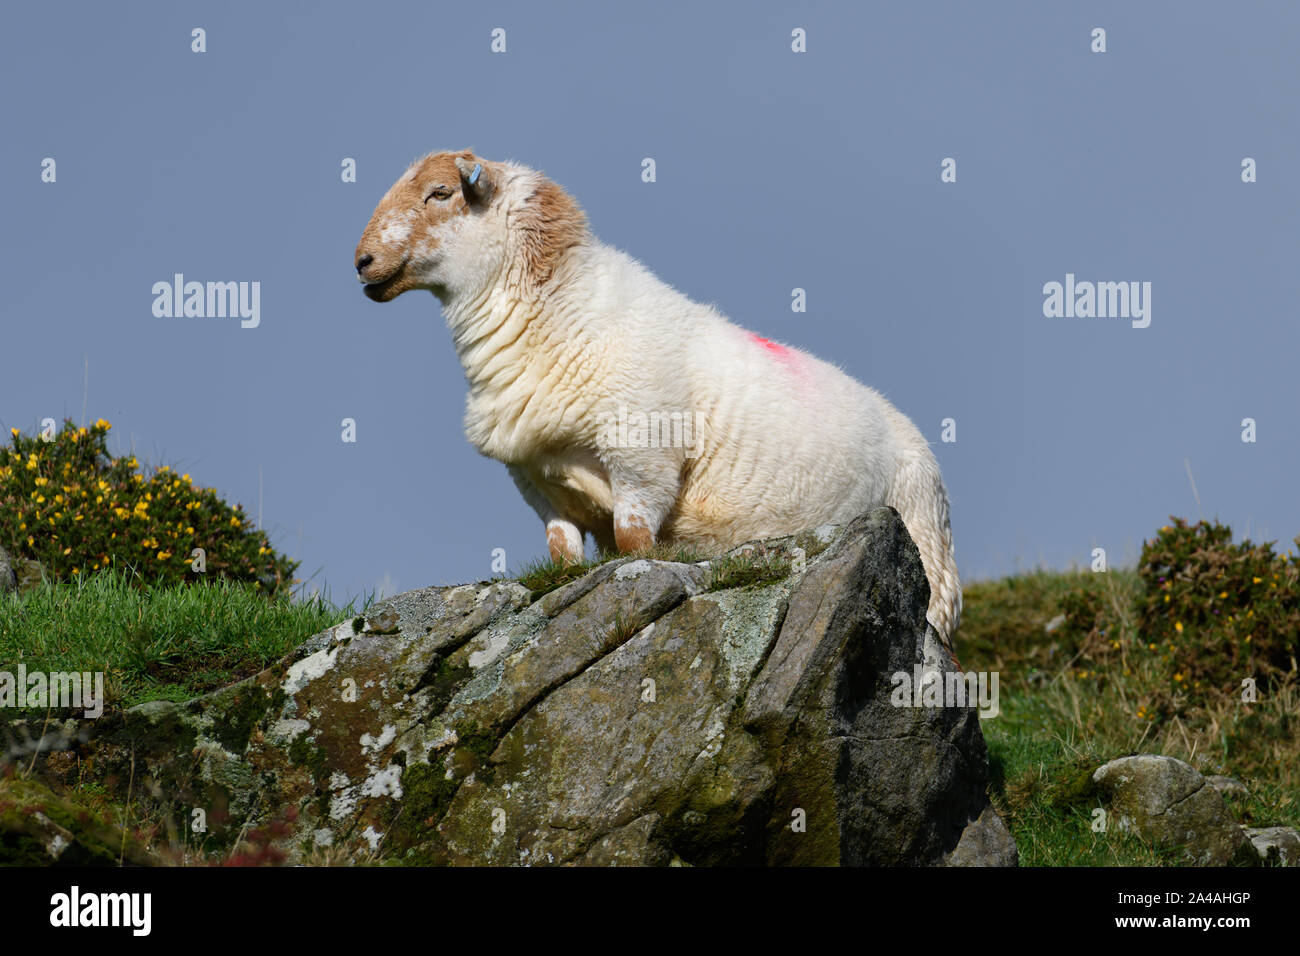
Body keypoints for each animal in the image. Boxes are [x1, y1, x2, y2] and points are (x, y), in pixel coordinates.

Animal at [354, 150, 962, 647]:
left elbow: (632, 542)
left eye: (440, 193)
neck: (559, 309)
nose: (360, 262)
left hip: (928, 561)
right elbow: (563, 555)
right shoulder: (537, 481)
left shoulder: (642, 459)